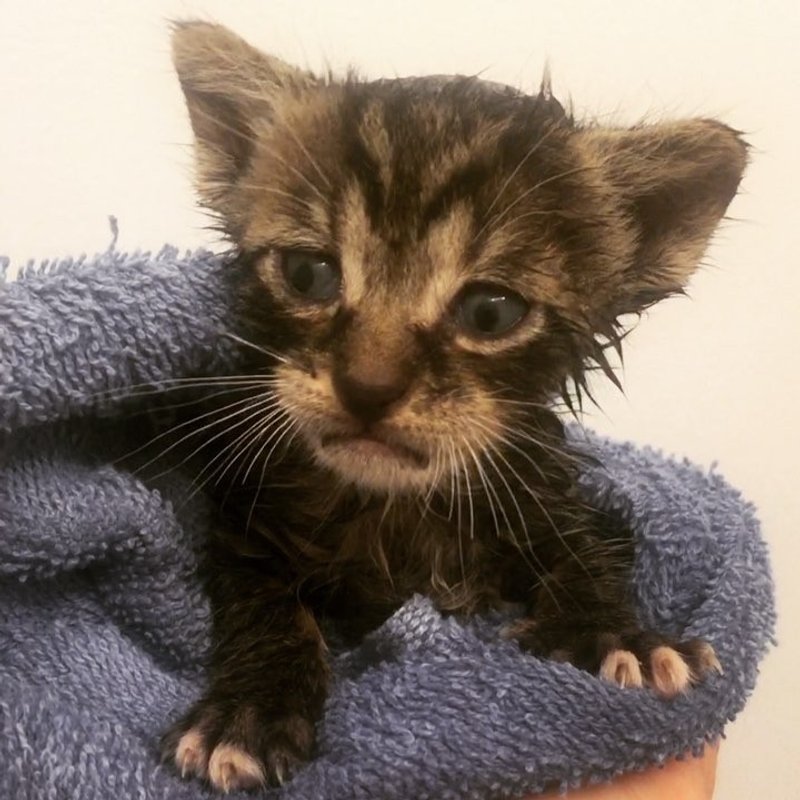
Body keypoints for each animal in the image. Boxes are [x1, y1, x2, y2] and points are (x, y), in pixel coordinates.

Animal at [158, 20, 746, 792]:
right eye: (308, 274)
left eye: (491, 312)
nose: (367, 387)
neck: (394, 509)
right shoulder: (240, 513)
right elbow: (263, 598)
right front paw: (252, 710)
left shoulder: (557, 491)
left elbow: (586, 550)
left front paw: (615, 635)